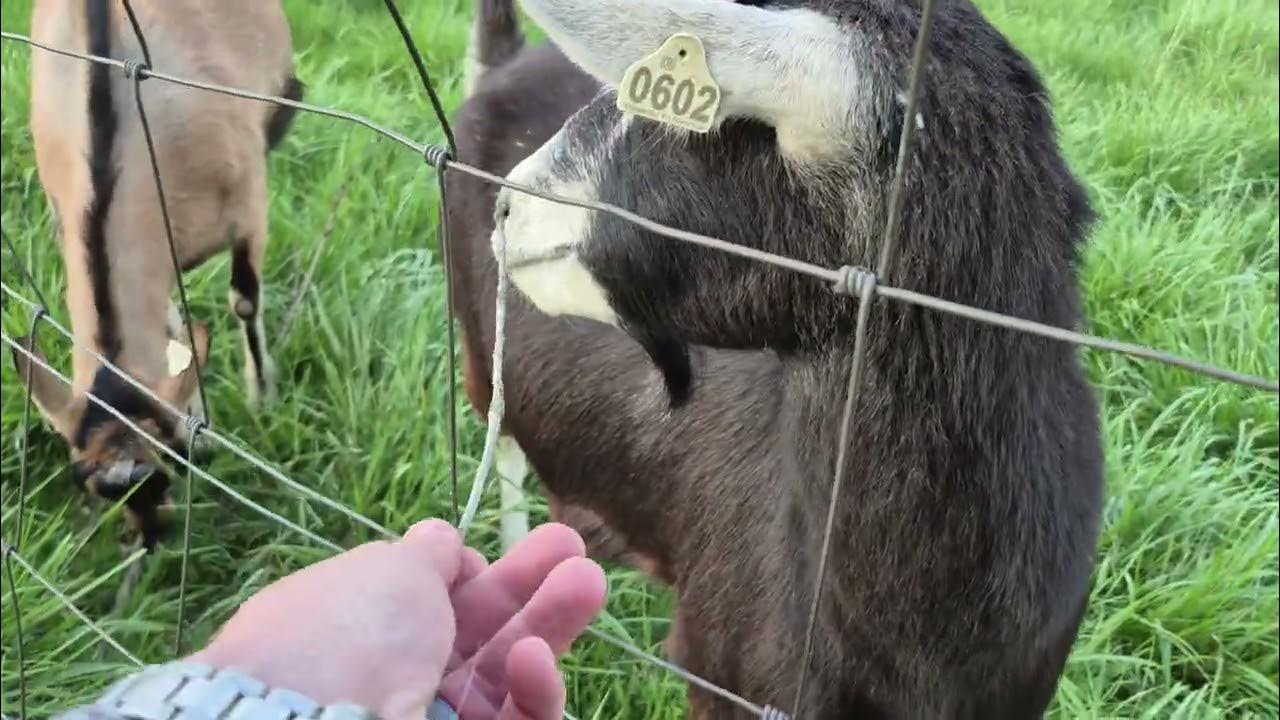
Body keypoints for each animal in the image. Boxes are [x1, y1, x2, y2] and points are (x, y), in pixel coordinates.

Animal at [11, 0, 302, 550]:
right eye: (87, 482)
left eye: (170, 462)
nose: (150, 535)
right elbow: (173, 327)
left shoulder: (249, 203)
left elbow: (244, 300)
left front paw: (262, 398)